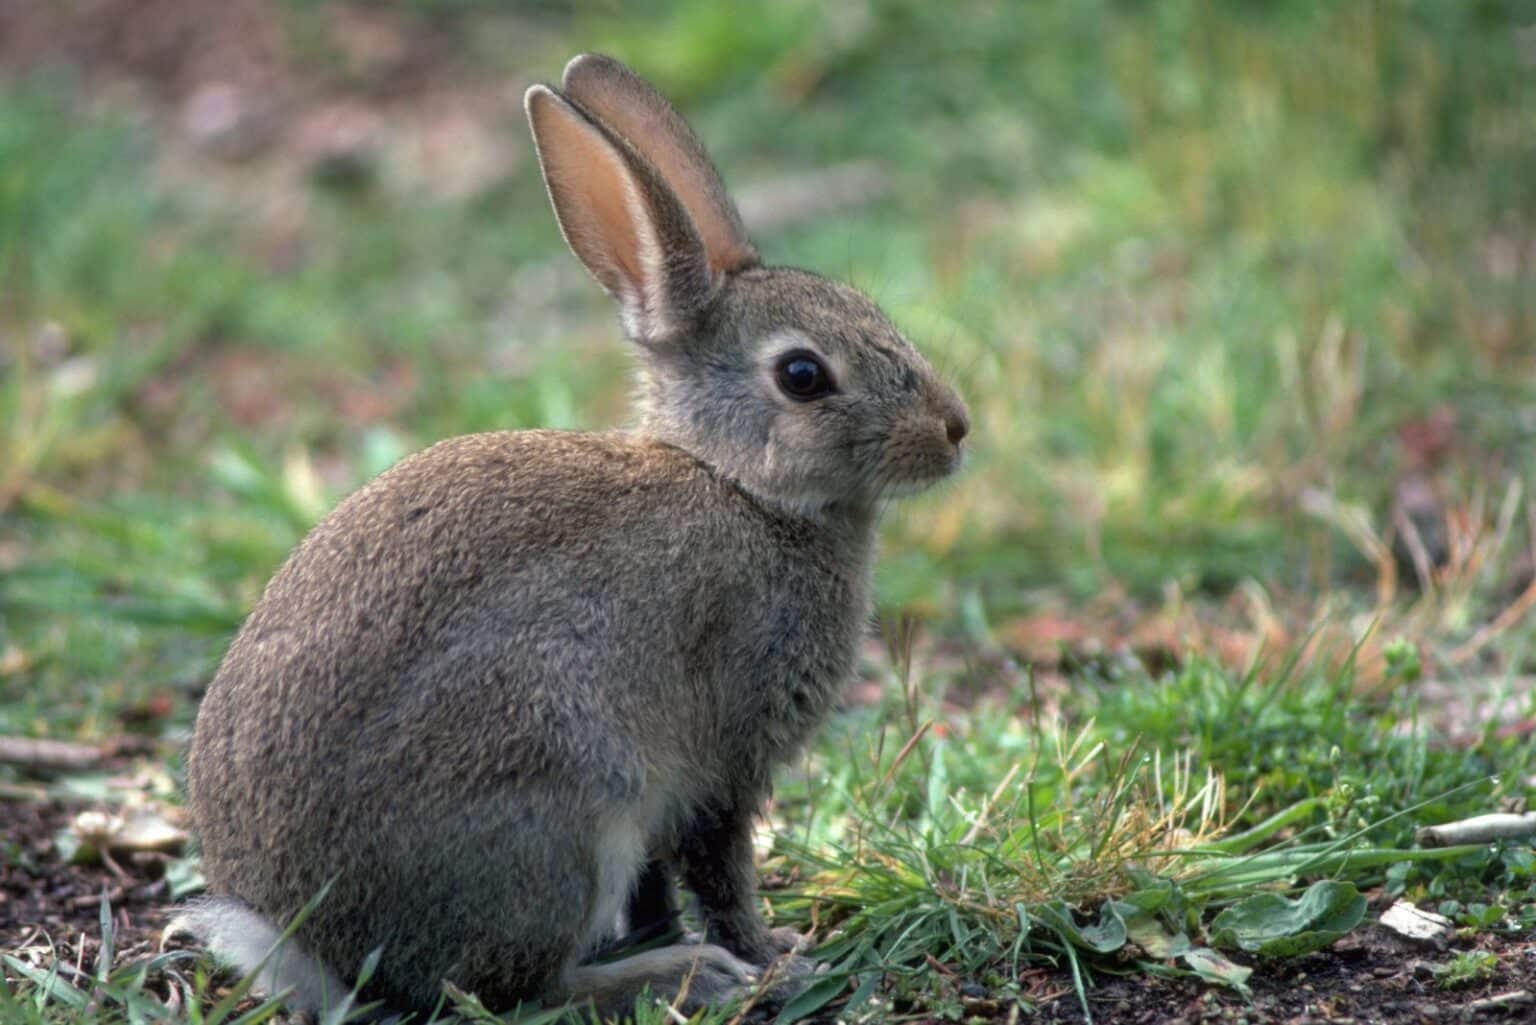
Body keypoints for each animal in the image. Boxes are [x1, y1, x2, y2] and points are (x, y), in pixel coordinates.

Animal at [176, 53, 969, 1020]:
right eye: (803, 375)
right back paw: (682, 975)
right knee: (509, 989)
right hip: (565, 801)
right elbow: (722, 868)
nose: (954, 429)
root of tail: (312, 945)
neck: (740, 487)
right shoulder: (723, 760)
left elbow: (661, 886)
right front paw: (777, 954)